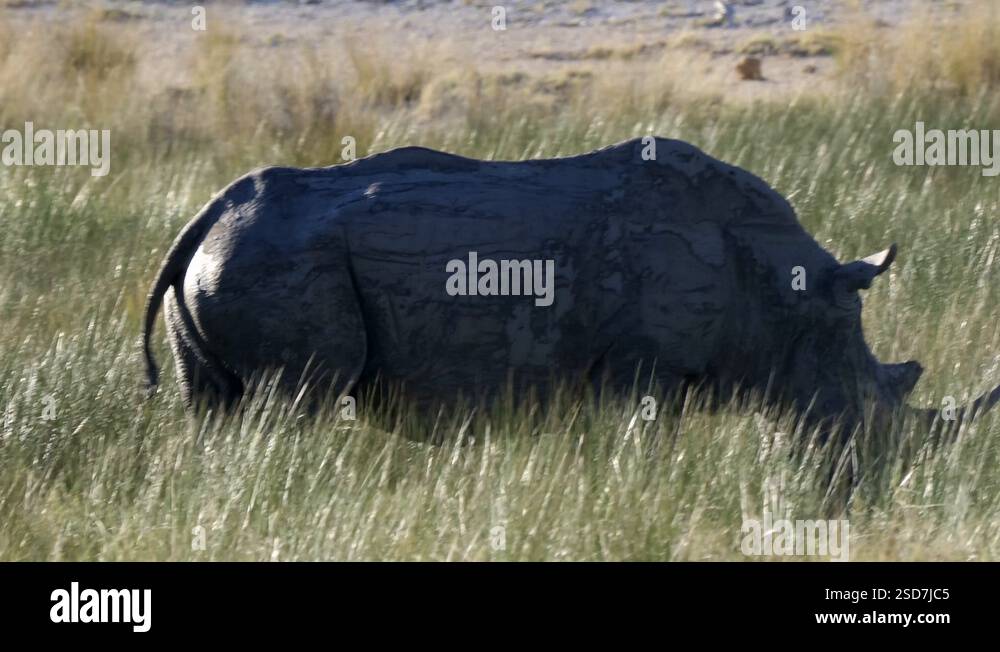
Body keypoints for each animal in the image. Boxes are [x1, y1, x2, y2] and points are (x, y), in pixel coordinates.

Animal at [141, 138, 999, 435]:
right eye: (869, 403)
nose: (864, 489)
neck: (791, 295)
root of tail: (210, 209)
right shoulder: (646, 370)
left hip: (232, 254)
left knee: (214, 409)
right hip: (273, 261)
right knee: (297, 400)